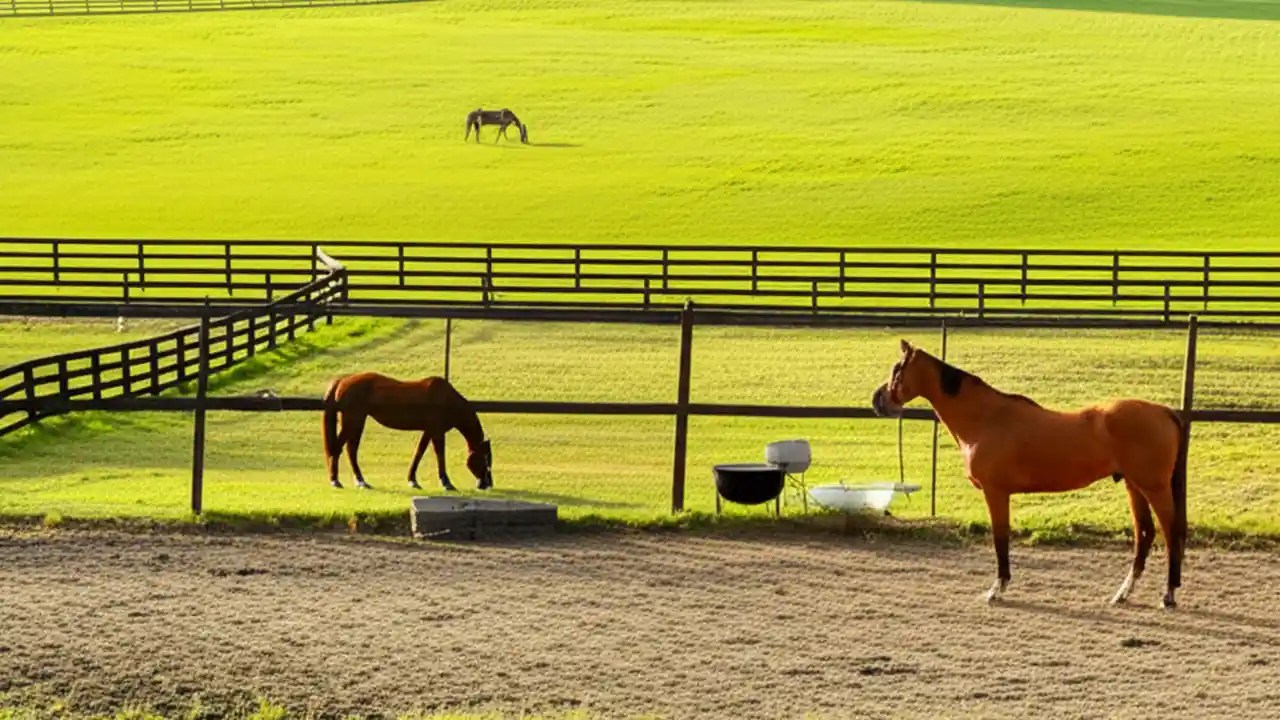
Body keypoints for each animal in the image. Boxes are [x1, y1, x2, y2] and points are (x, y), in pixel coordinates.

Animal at [322, 372, 493, 492]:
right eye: (485, 459)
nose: (487, 484)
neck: (446, 399)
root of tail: (343, 380)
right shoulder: (437, 432)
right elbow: (440, 454)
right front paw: (446, 483)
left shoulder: (428, 431)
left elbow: (419, 452)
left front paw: (413, 480)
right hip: (353, 421)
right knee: (338, 448)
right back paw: (336, 481)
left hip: (356, 423)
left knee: (350, 450)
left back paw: (360, 481)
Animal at [871, 340, 1188, 608]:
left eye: (897, 369)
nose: (878, 401)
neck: (986, 419)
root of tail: (1164, 412)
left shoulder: (995, 492)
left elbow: (1000, 539)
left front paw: (996, 590)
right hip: (1134, 485)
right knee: (1144, 534)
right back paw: (1122, 594)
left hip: (1154, 487)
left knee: (1170, 534)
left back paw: (1168, 596)